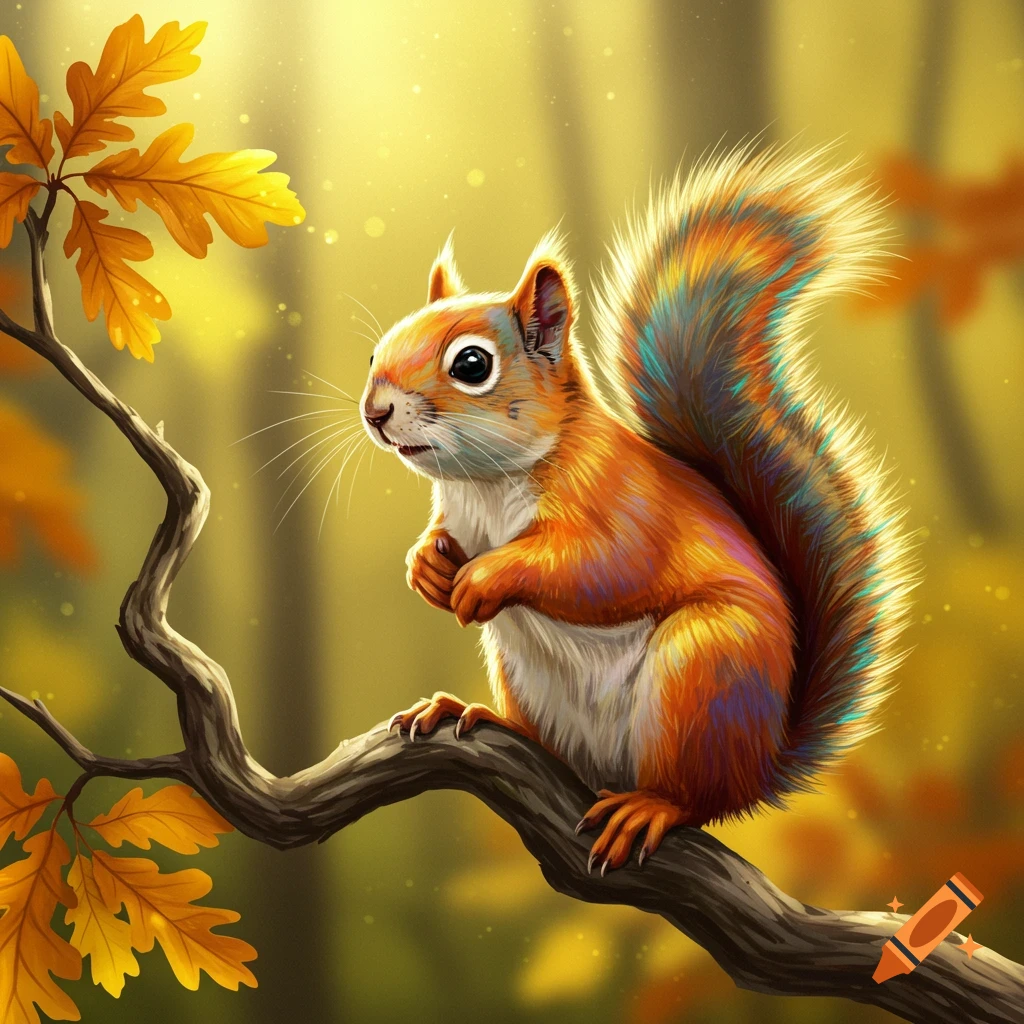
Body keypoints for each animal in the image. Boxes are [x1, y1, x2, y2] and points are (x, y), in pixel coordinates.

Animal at [361, 145, 915, 874]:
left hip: (702, 669)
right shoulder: (457, 516)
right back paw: (472, 713)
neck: (486, 483)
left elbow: (599, 569)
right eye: (376, 350)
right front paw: (427, 566)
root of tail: (762, 762)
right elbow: (439, 541)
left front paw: (484, 576)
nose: (375, 412)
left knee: (698, 798)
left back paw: (651, 807)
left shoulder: (623, 507)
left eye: (472, 364)